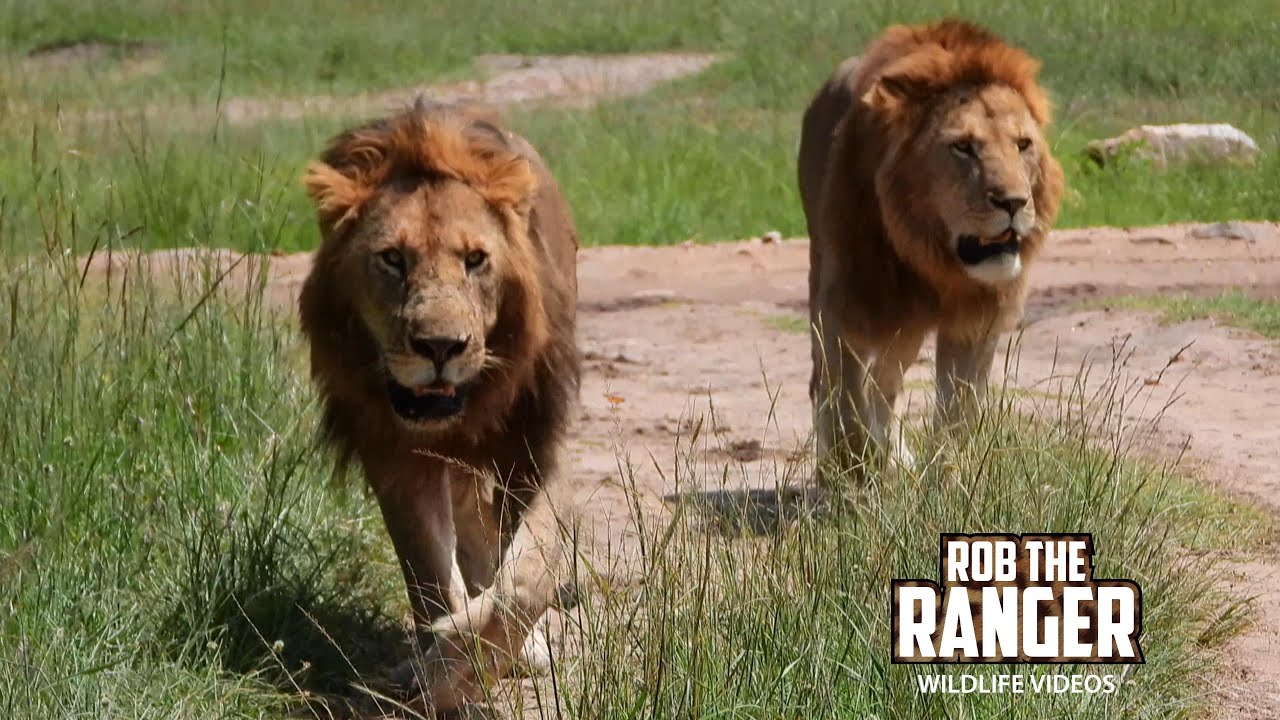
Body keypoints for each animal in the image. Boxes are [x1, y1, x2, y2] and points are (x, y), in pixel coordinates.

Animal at [298, 100, 579, 711]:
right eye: (392, 259)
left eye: (475, 259)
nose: (440, 347)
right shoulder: (394, 457)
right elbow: (428, 574)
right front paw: (445, 670)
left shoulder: (539, 442)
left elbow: (528, 577)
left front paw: (474, 653)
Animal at [798, 19, 1065, 483]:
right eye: (963, 147)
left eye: (1023, 145)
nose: (1014, 202)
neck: (931, 258)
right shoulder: (843, 307)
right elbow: (844, 397)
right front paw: (849, 478)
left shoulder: (975, 323)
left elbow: (957, 414)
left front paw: (949, 483)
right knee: (832, 383)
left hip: (904, 327)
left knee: (884, 382)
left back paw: (895, 458)